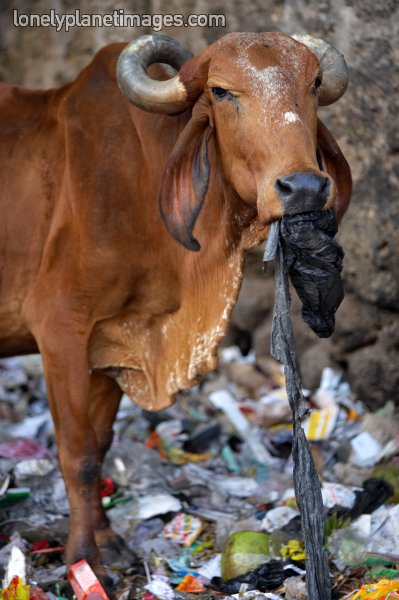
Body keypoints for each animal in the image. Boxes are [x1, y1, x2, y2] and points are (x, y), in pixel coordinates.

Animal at [0, 32, 350, 580]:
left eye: (314, 83)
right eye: (222, 91)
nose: (305, 188)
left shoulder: (115, 342)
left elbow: (100, 444)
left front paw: (107, 539)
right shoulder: (61, 331)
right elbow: (79, 454)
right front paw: (85, 557)